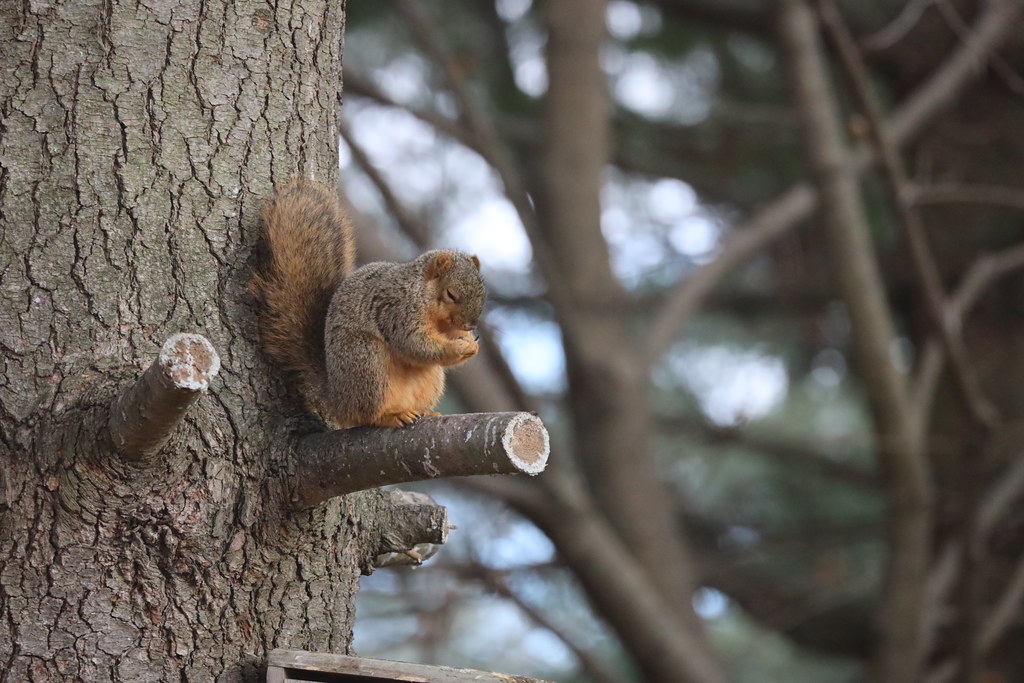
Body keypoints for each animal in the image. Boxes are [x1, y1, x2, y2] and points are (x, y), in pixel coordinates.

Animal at [250, 180, 484, 429]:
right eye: (451, 294)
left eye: (483, 290)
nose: (470, 325)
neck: (422, 294)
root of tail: (338, 399)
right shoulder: (398, 310)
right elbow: (414, 343)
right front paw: (458, 347)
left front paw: (469, 342)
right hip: (367, 362)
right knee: (365, 415)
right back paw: (391, 416)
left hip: (429, 380)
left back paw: (425, 414)